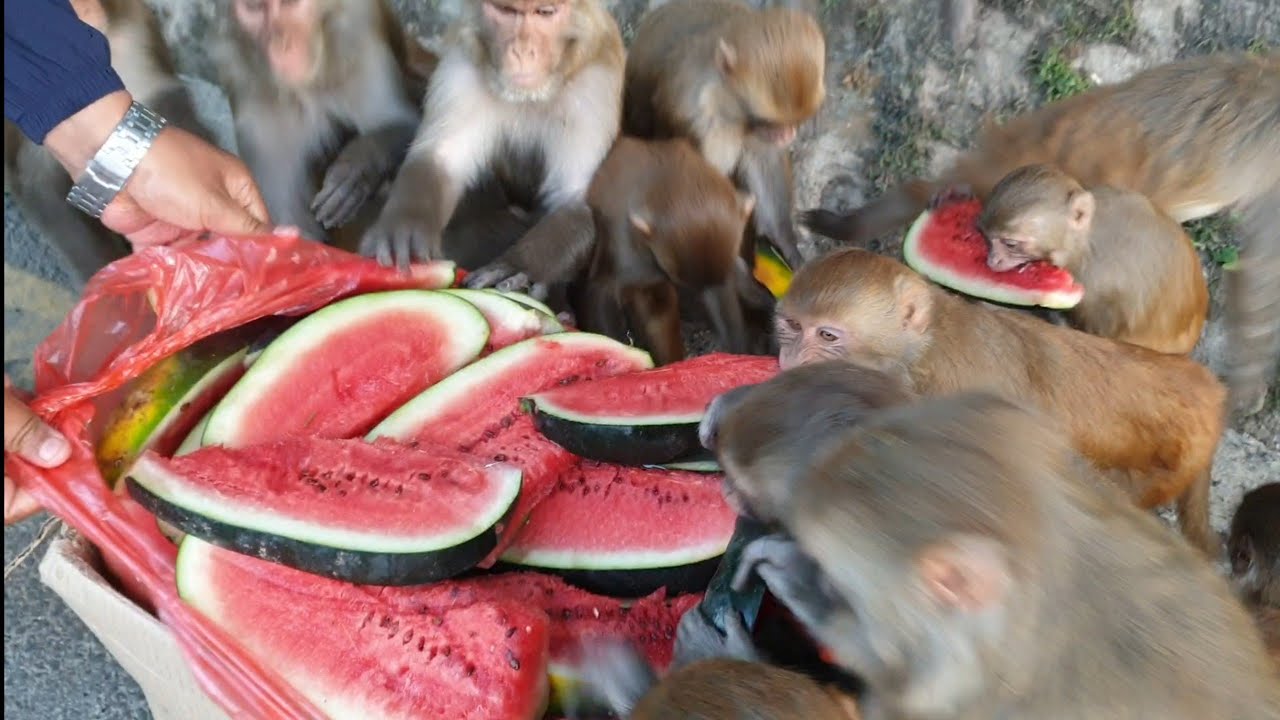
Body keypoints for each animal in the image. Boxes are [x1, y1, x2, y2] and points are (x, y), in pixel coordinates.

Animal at [210, 0, 431, 249]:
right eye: (254, 7)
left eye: (289, 4)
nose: (280, 42)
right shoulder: (253, 96)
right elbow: (295, 230)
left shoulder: (359, 40)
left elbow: (403, 125)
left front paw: (356, 172)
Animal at [360, 0, 625, 305]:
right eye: (506, 12)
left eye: (545, 12)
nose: (522, 51)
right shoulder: (462, 65)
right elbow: (440, 159)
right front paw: (405, 224)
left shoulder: (594, 87)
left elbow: (572, 200)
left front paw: (521, 265)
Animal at [622, 0, 827, 276]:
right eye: (768, 122)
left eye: (793, 122)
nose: (787, 134)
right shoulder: (699, 121)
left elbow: (765, 163)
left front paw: (786, 242)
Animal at [772, 248, 1227, 556]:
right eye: (793, 326)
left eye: (827, 335)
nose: (790, 358)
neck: (922, 353)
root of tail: (1208, 389)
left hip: (1163, 470)